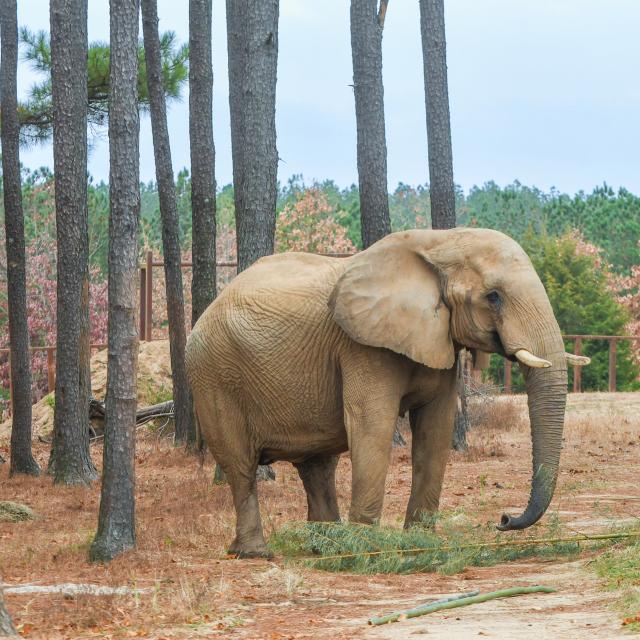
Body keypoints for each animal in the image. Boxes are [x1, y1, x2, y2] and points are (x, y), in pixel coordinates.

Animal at [186, 228, 589, 558]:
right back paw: (257, 553)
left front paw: (420, 543)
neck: (439, 240)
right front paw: (367, 548)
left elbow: (435, 428)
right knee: (241, 467)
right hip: (214, 375)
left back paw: (325, 547)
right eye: (493, 297)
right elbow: (372, 424)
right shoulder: (361, 345)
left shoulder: (437, 338)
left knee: (318, 467)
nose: (504, 519)